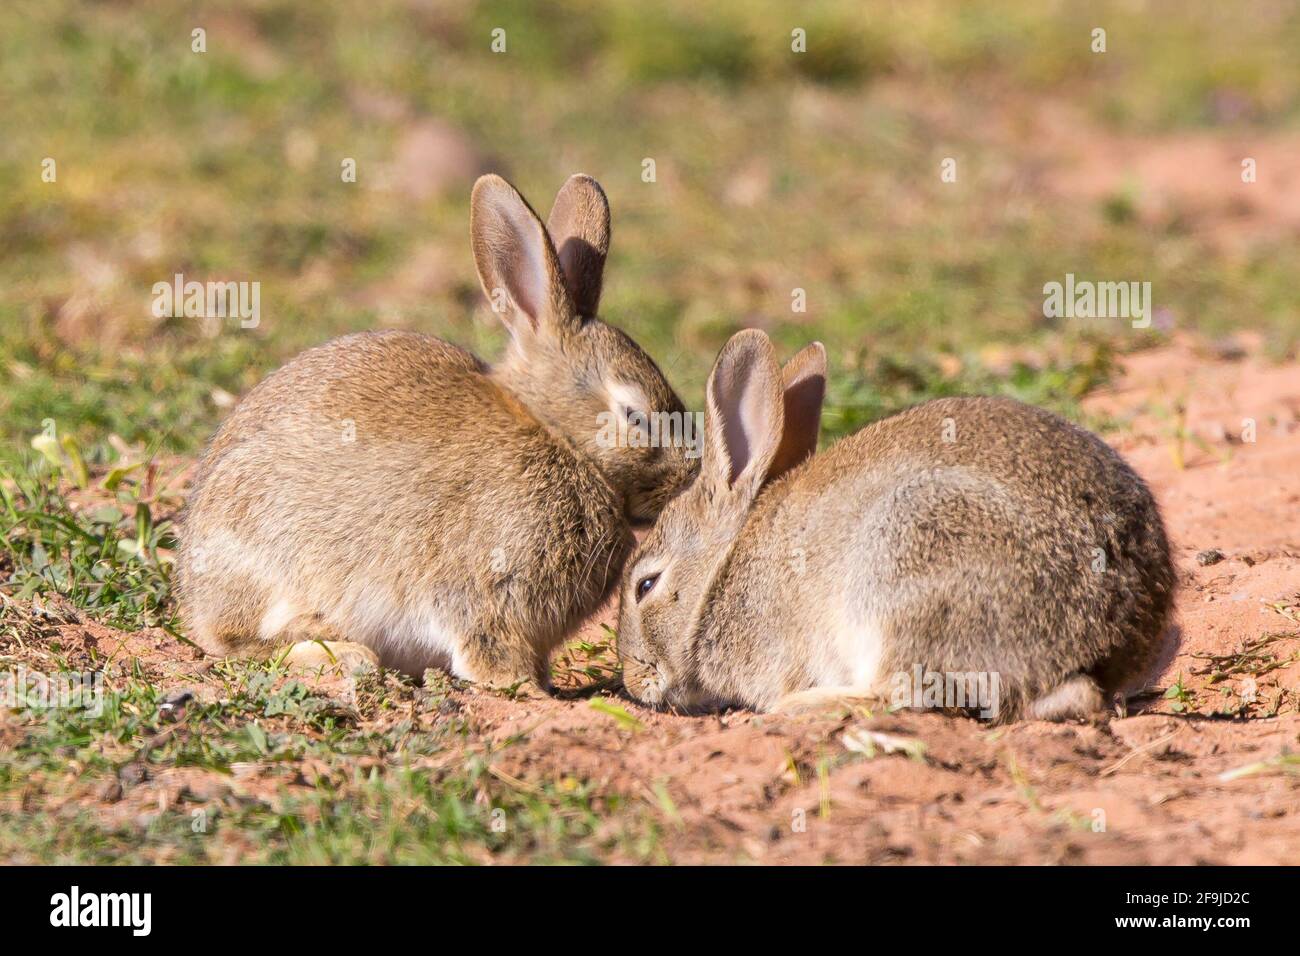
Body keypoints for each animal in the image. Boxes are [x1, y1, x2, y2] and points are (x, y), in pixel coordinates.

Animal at [176, 173, 698, 687]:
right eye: (635, 416)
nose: (691, 474)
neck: (559, 438)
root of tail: (194, 589)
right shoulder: (489, 585)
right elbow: (487, 644)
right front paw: (522, 686)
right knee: (242, 642)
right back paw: (347, 656)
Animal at [616, 329, 1175, 721]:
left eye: (646, 585)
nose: (632, 681)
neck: (723, 570)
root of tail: (1113, 621)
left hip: (907, 568)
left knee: (901, 691)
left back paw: (800, 706)